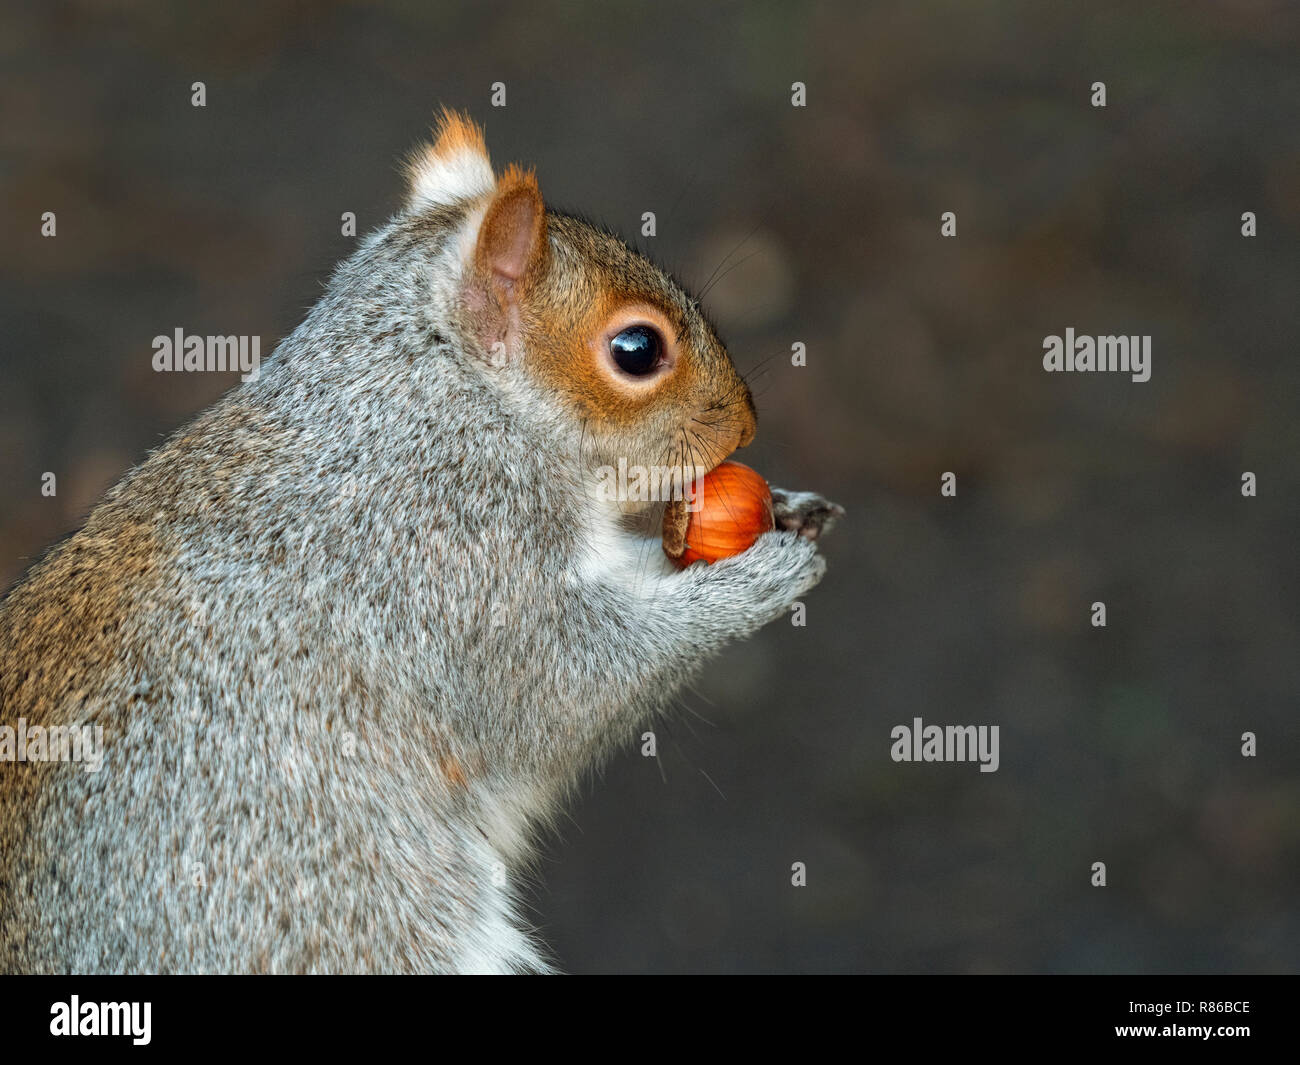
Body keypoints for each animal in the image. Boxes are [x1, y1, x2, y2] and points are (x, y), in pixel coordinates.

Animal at [0, 111, 842, 973]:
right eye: (638, 350)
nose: (746, 424)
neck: (443, 395)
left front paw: (787, 511)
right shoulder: (439, 560)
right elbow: (562, 685)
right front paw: (753, 583)